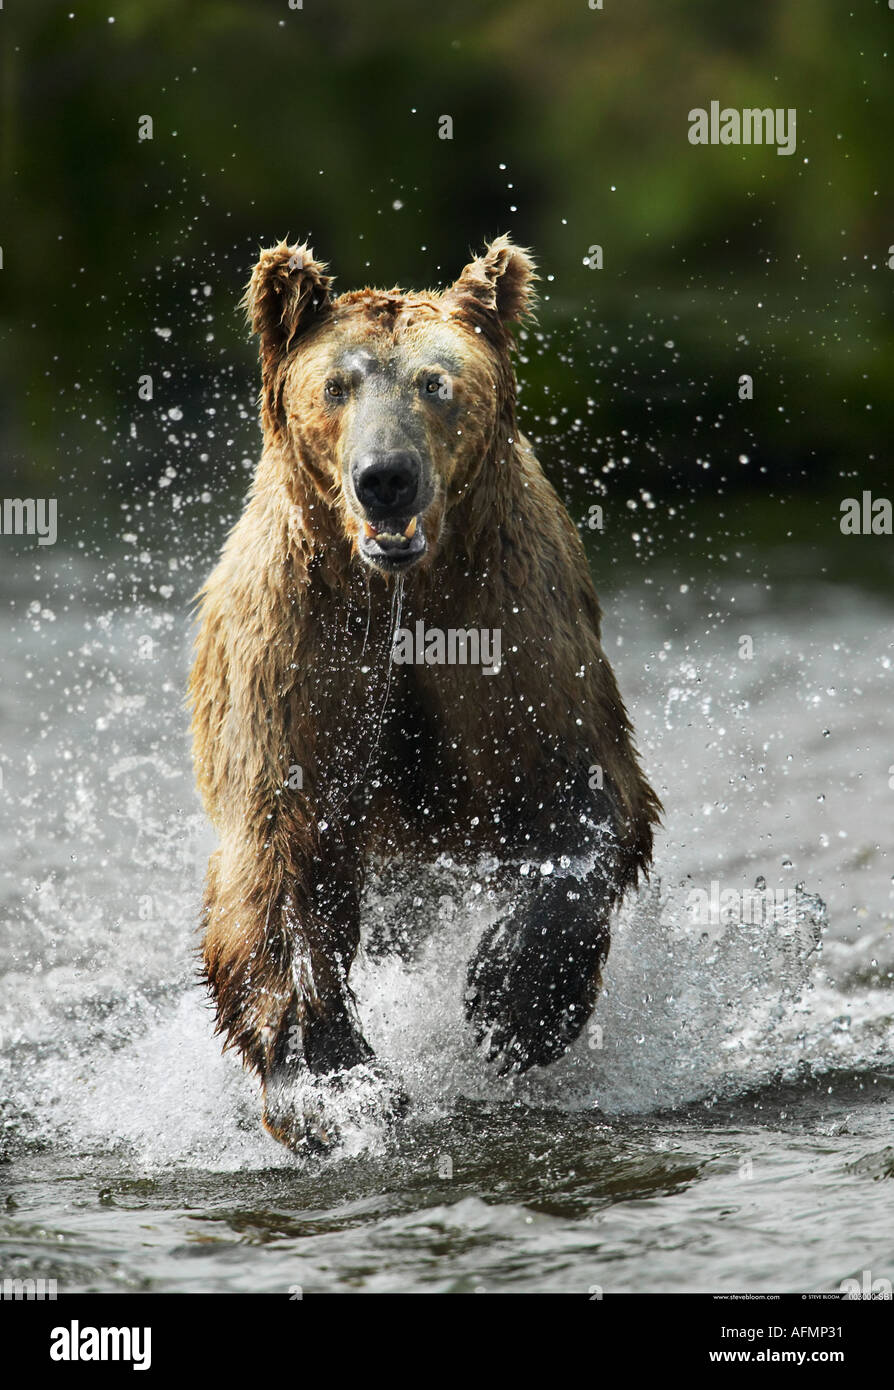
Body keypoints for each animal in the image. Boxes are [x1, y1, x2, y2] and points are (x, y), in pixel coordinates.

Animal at [188, 234, 661, 1150]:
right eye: (336, 384)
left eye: (436, 382)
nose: (386, 478)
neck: (398, 590)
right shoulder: (296, 657)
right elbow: (278, 857)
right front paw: (333, 1087)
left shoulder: (510, 627)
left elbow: (580, 792)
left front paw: (512, 1005)